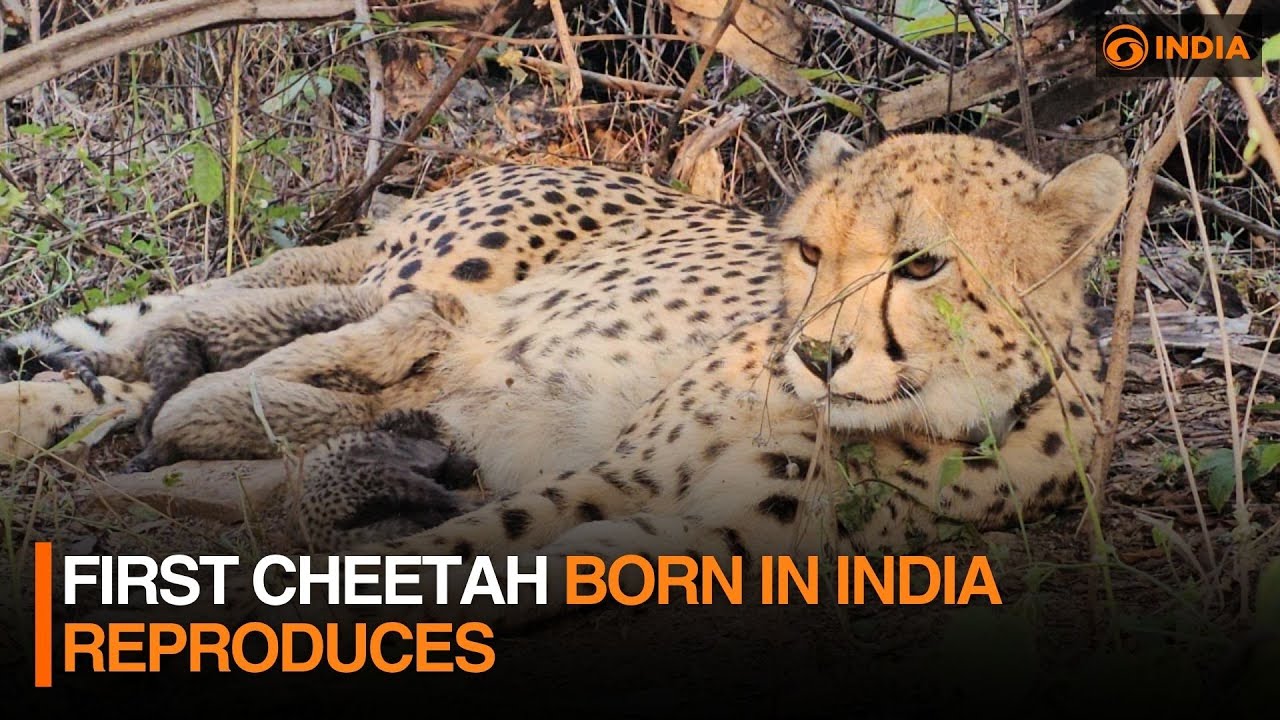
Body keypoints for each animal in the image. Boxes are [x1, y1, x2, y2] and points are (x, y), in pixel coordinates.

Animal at [0, 132, 1127, 627]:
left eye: (921, 265)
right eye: (808, 251)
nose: (813, 355)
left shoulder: (711, 538)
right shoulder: (619, 477)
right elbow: (471, 544)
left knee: (162, 400)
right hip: (436, 278)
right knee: (142, 366)